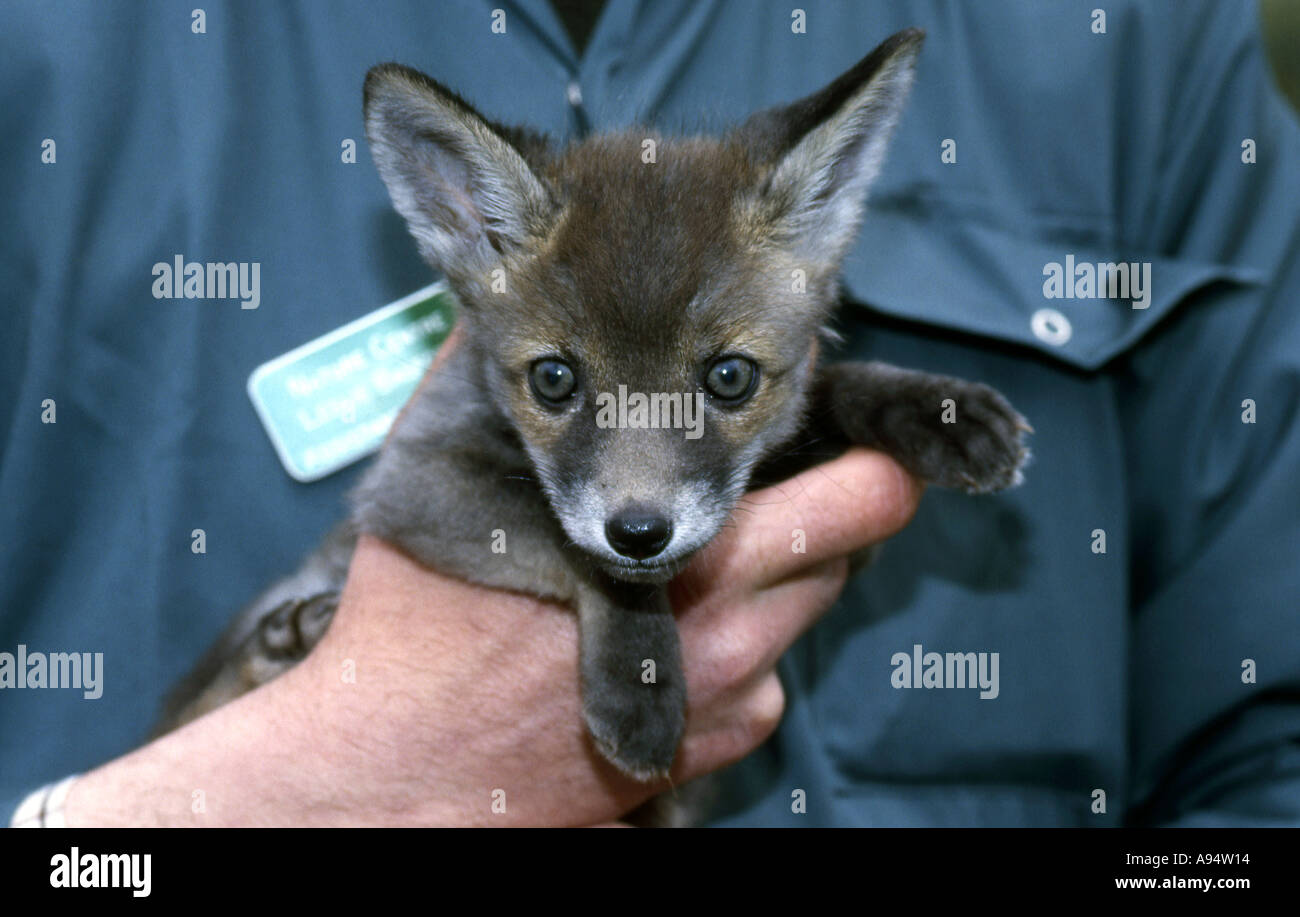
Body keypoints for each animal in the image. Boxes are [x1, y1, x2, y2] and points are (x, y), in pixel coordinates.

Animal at [155, 27, 1030, 822]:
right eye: (554, 379)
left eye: (730, 377)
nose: (640, 530)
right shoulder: (413, 478)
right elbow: (567, 544)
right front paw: (640, 682)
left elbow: (828, 392)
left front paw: (933, 407)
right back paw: (283, 642)